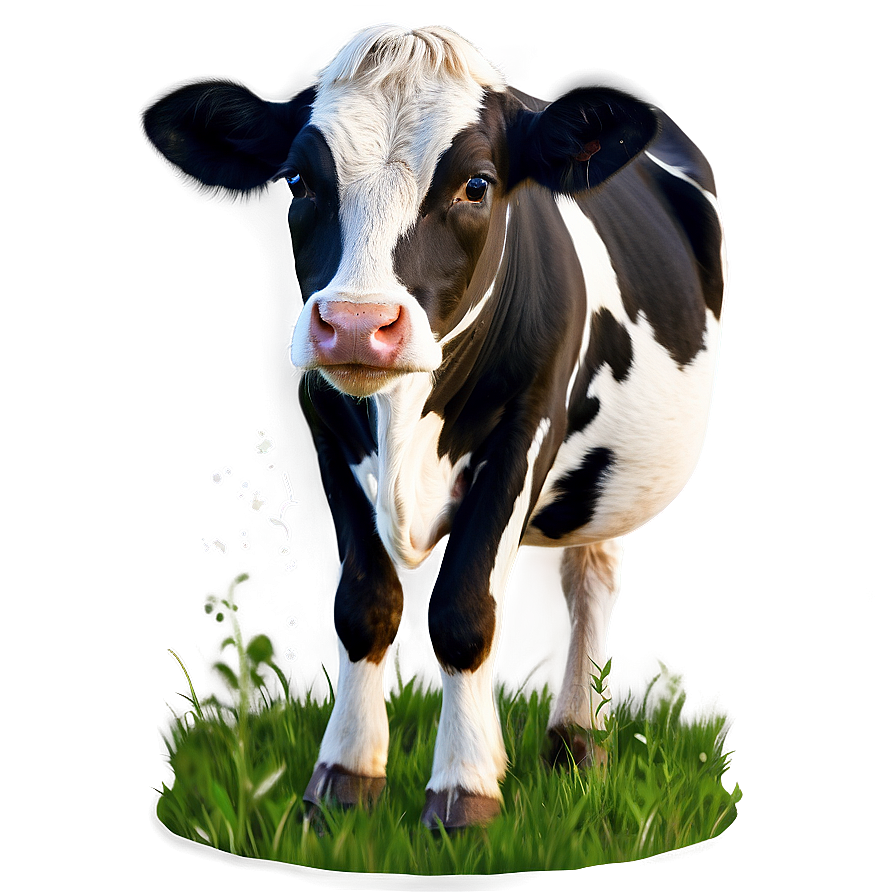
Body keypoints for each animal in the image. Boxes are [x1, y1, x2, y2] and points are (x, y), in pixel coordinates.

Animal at [141, 23, 726, 831]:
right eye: (297, 183)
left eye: (475, 185)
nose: (357, 323)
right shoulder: (326, 430)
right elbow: (363, 605)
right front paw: (343, 778)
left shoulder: (523, 433)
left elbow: (464, 611)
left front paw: (465, 791)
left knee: (592, 575)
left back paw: (580, 740)